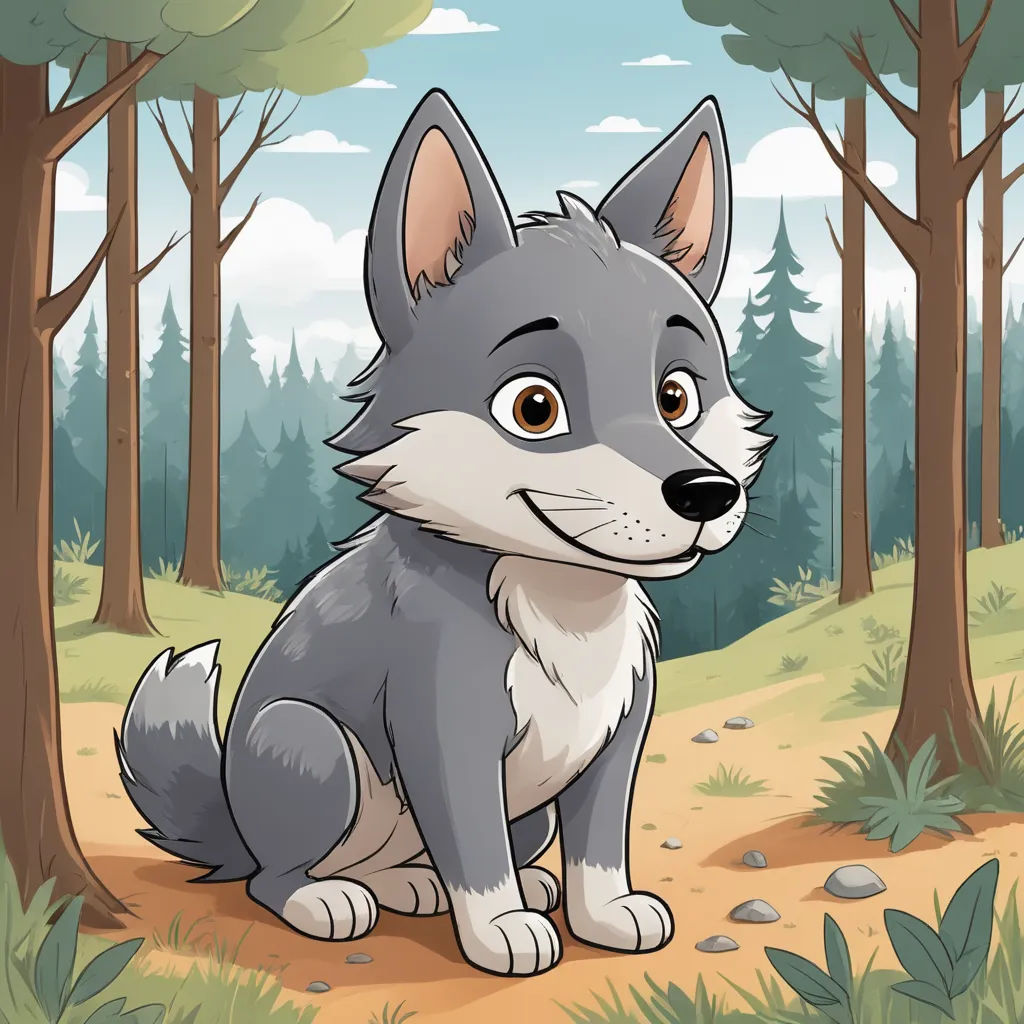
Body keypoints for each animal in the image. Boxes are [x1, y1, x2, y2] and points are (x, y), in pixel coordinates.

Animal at [116, 89, 772, 977]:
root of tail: (234, 818)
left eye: (676, 396)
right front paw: (499, 933)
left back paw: (443, 884)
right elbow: (475, 849)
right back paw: (328, 899)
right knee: (275, 875)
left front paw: (605, 915)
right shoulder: (445, 730)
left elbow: (600, 847)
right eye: (535, 407)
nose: (706, 492)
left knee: (432, 861)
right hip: (310, 745)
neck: (563, 603)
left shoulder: (617, 733)